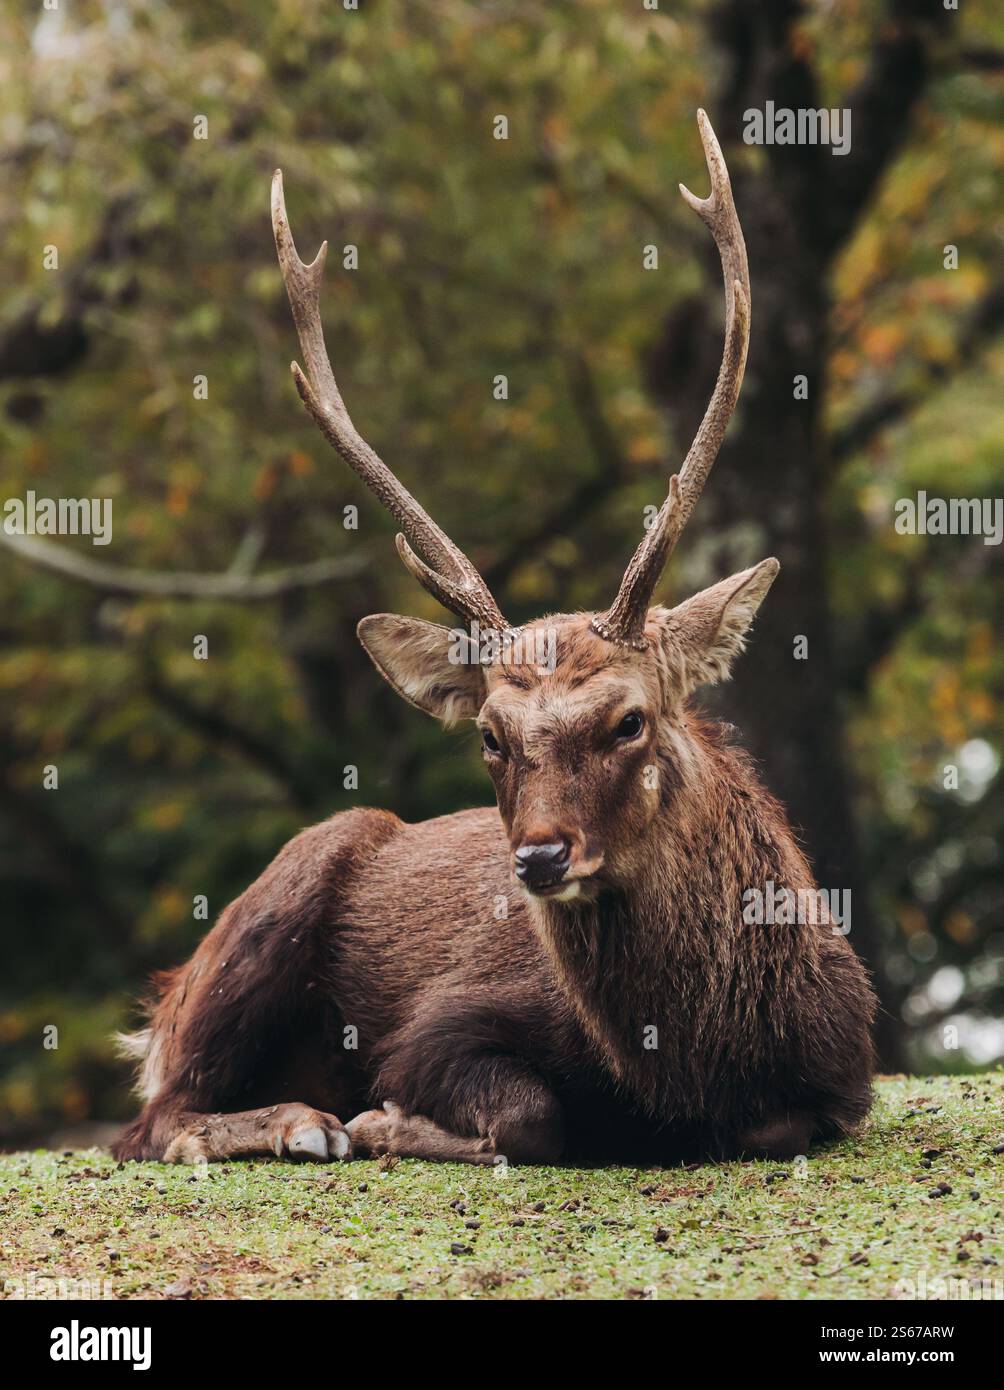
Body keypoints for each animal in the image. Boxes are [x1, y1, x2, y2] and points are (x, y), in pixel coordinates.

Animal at [113, 112, 875, 1170]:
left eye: (630, 720)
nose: (541, 859)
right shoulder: (442, 1021)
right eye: (489, 735)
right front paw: (383, 1120)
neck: (685, 1068)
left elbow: (780, 1120)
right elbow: (530, 1114)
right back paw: (303, 1124)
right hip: (274, 898)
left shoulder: (847, 1073)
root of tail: (153, 1012)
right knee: (150, 1119)